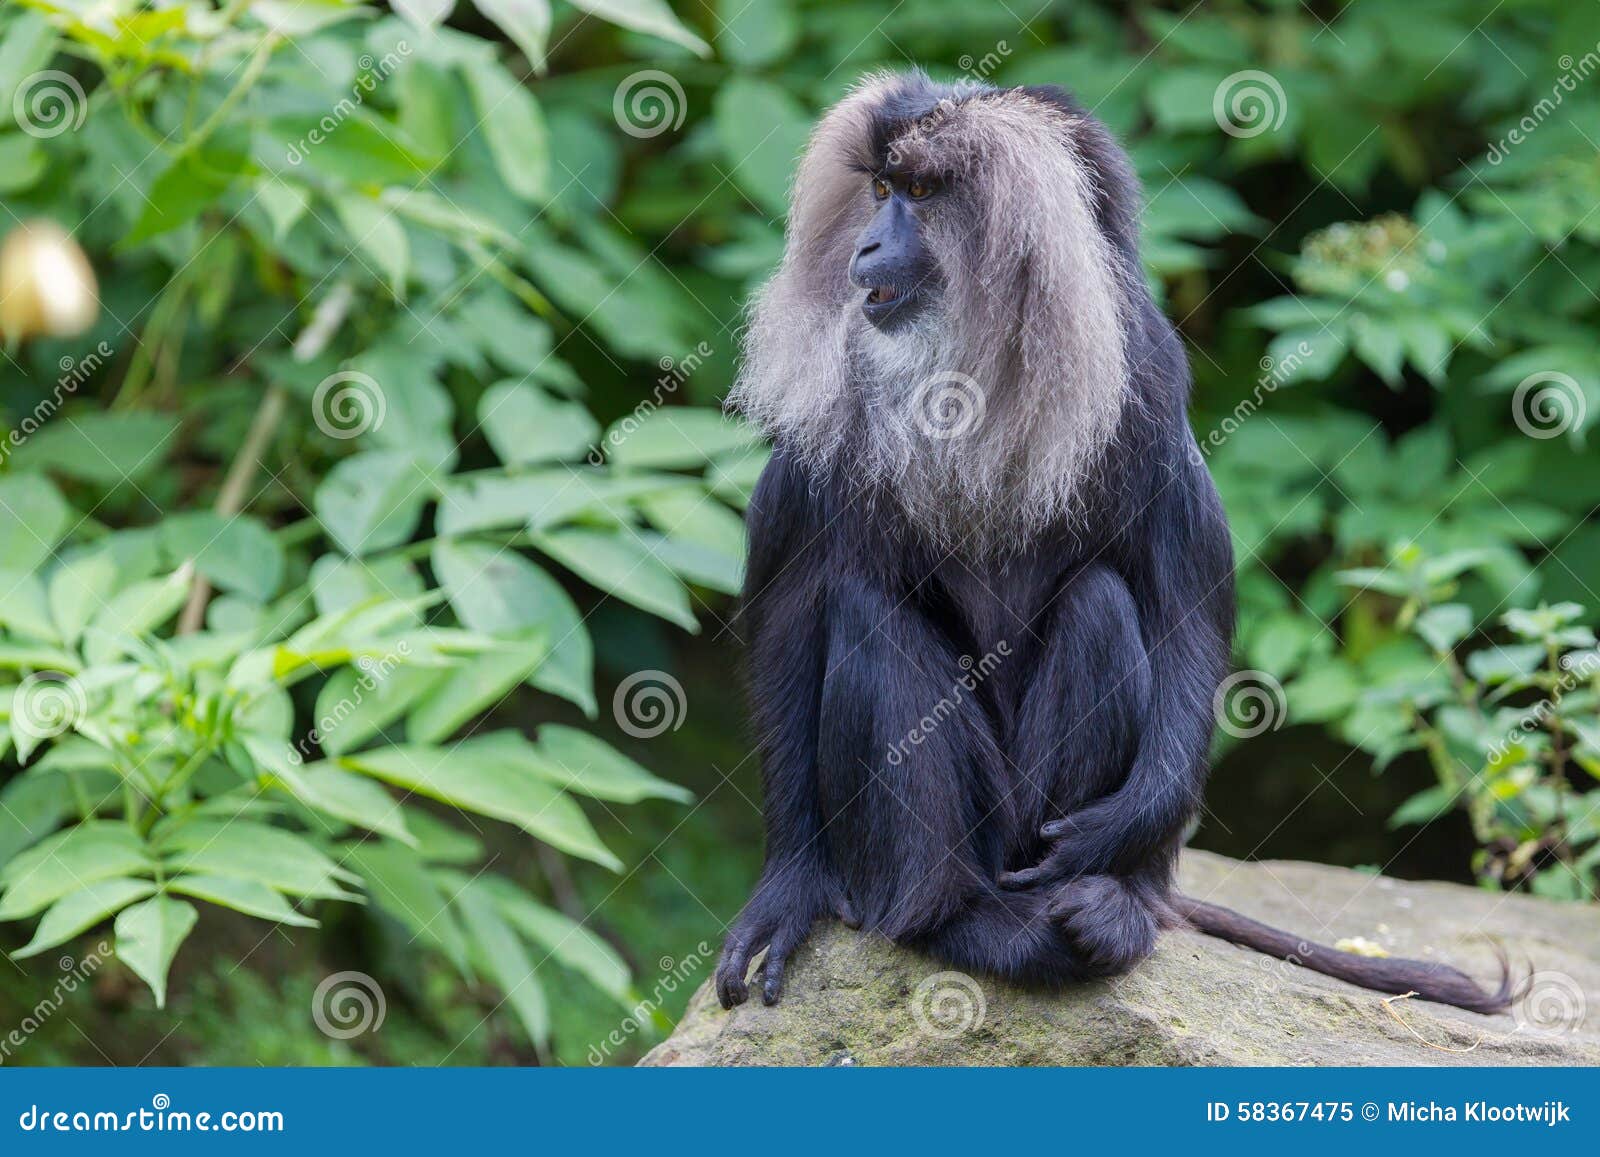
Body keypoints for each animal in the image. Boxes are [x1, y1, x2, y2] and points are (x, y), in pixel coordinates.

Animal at [715, 71, 1513, 1016]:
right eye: (878, 189)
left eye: (920, 192)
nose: (869, 244)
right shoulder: (821, 430)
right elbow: (792, 614)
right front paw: (790, 886)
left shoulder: (1147, 378)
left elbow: (1184, 599)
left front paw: (1132, 818)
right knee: (867, 617)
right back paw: (966, 924)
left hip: (1031, 834)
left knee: (1101, 604)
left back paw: (1108, 907)